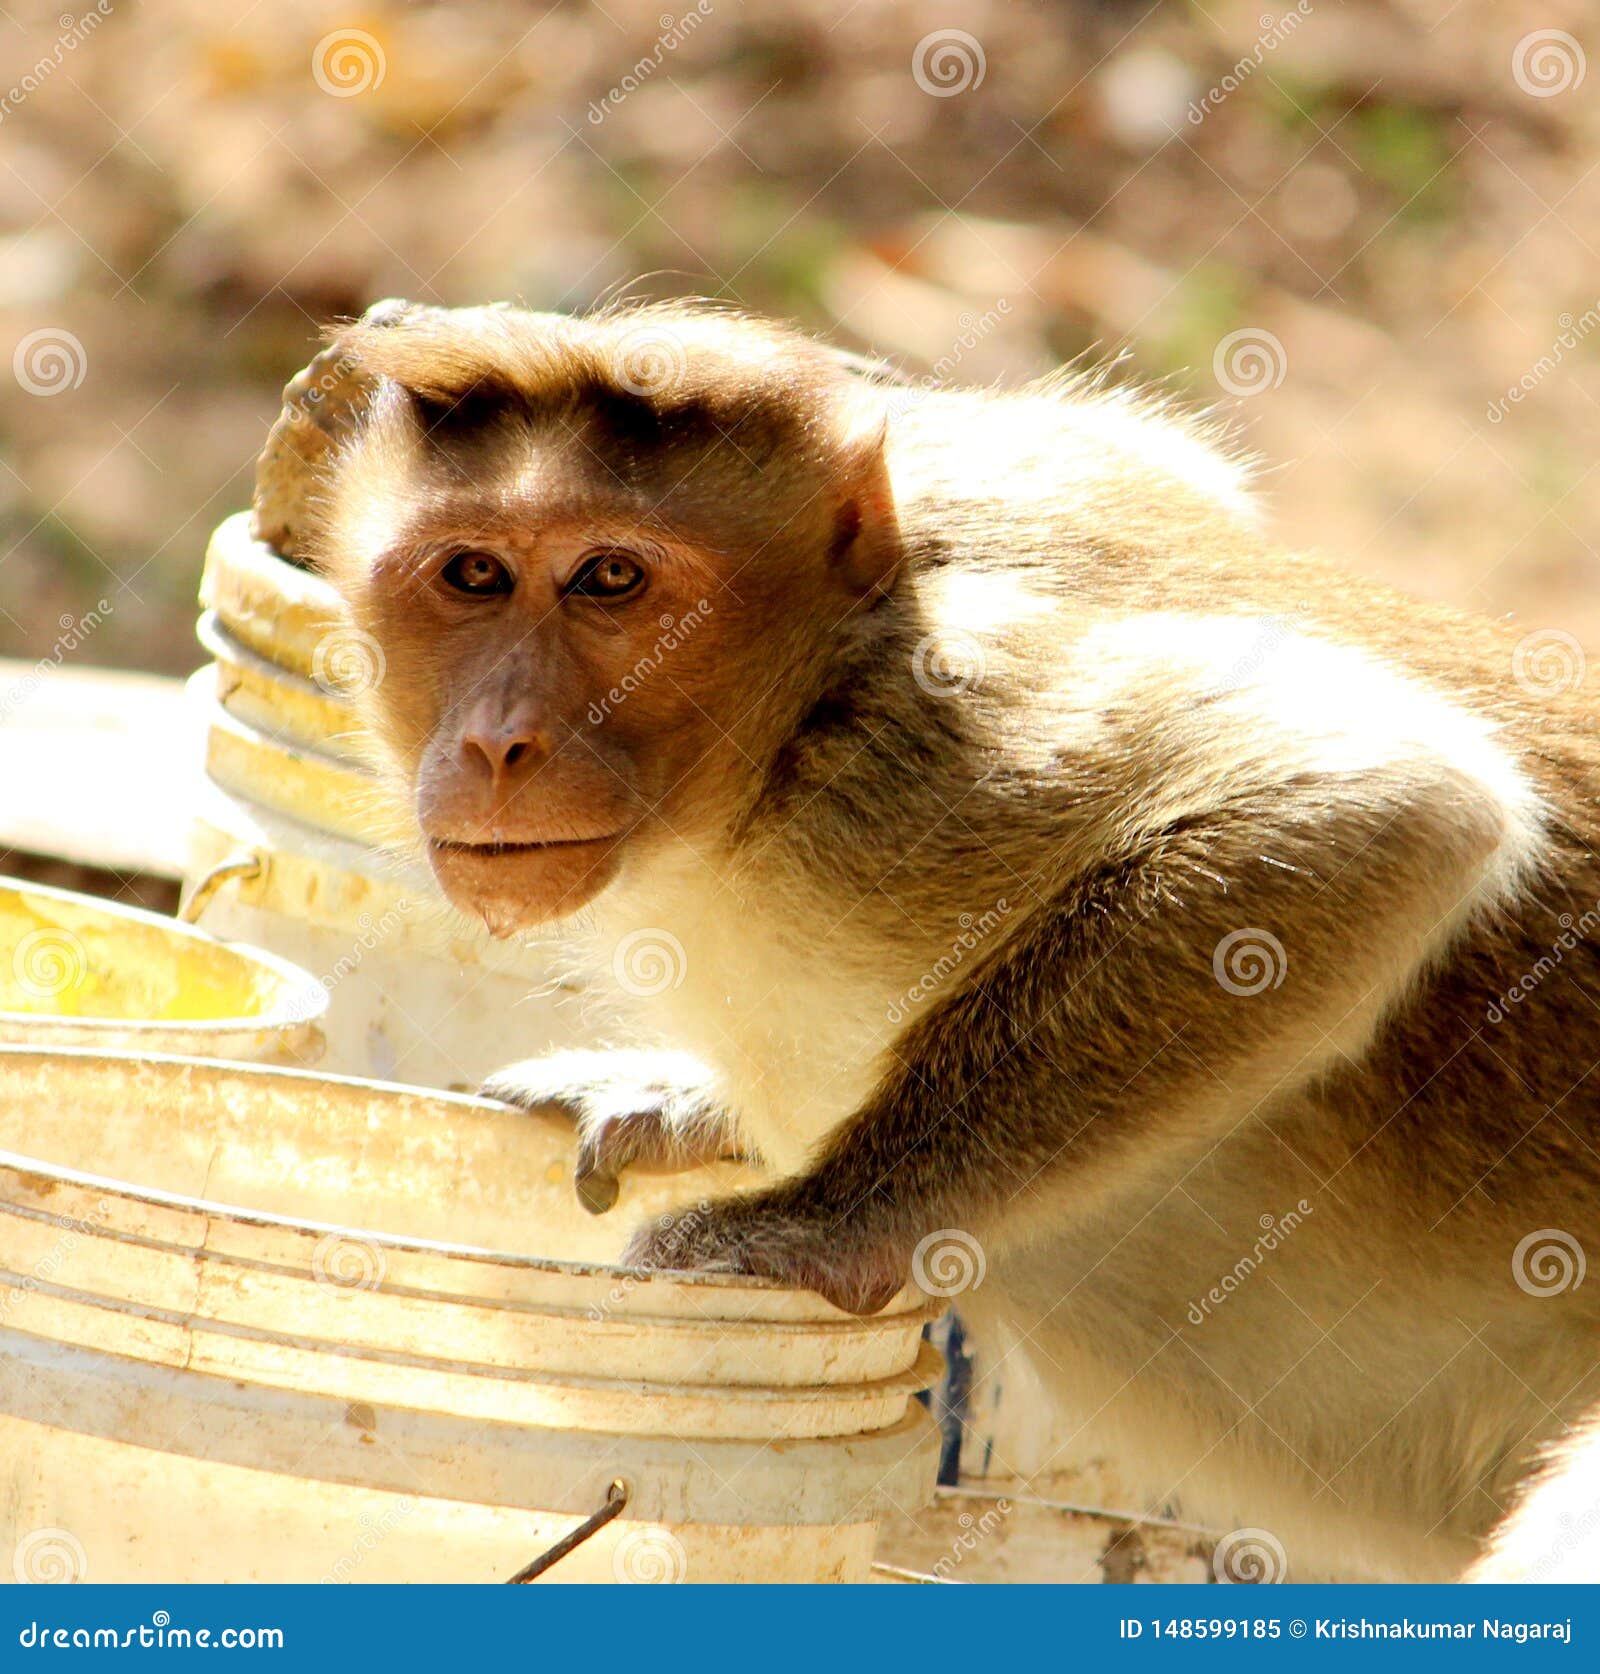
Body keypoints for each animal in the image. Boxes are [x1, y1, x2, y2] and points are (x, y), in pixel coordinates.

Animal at [300, 297, 1600, 1583]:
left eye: (609, 578)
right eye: (472, 574)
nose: (496, 742)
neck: (786, 730)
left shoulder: (921, 760)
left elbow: (1382, 803)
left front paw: (818, 1227)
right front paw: (687, 1099)